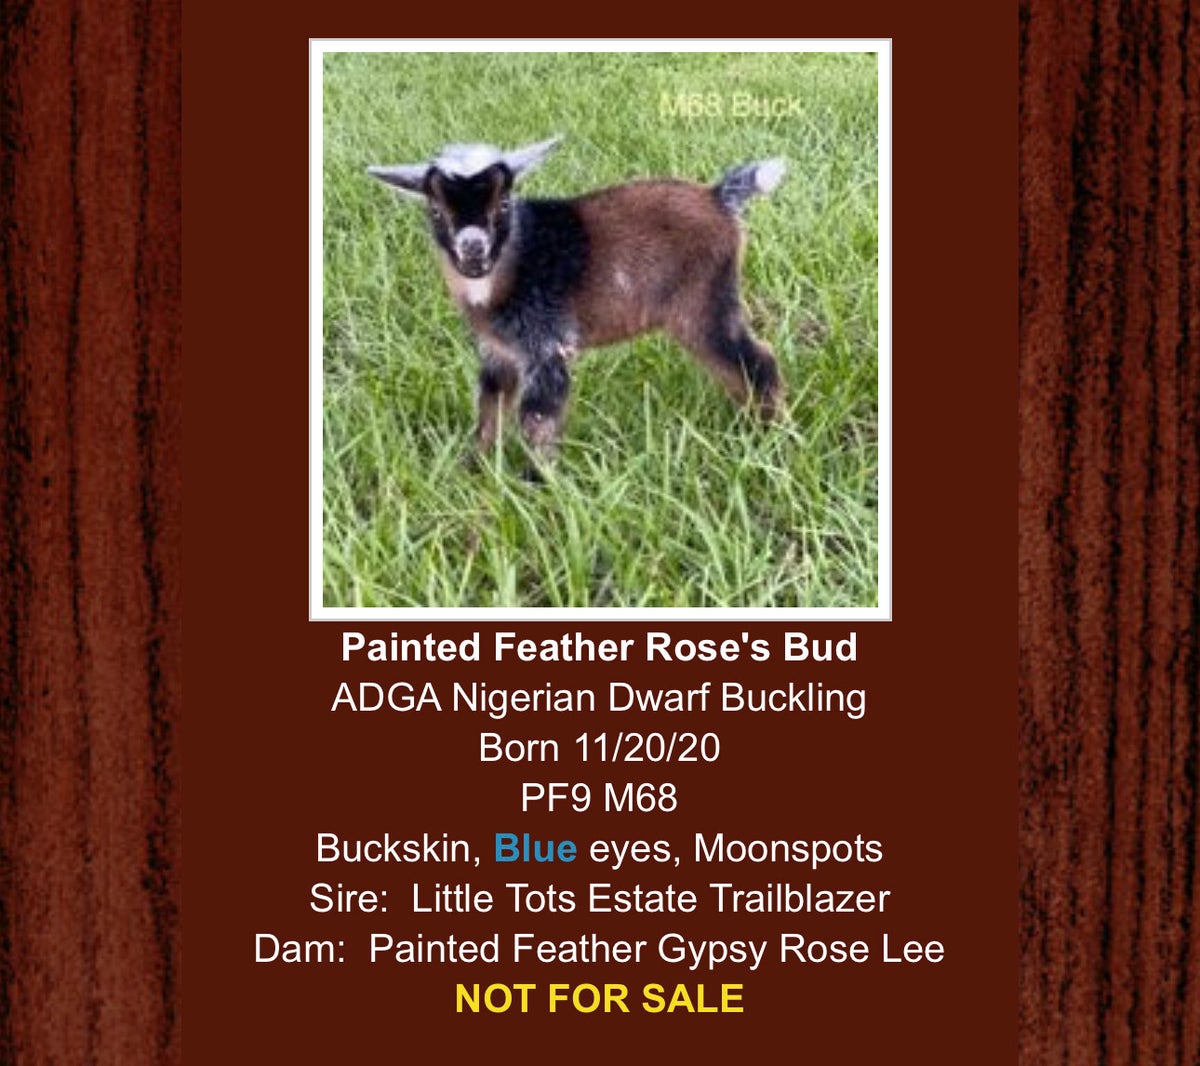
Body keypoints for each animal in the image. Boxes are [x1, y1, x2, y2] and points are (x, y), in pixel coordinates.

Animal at [367, 137, 786, 465]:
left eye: (503, 205)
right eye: (436, 211)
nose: (473, 251)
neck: (518, 258)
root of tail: (719, 197)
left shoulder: (547, 344)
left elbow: (538, 421)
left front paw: (536, 488)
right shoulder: (499, 352)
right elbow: (489, 410)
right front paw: (471, 469)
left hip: (704, 303)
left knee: (757, 361)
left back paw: (769, 438)